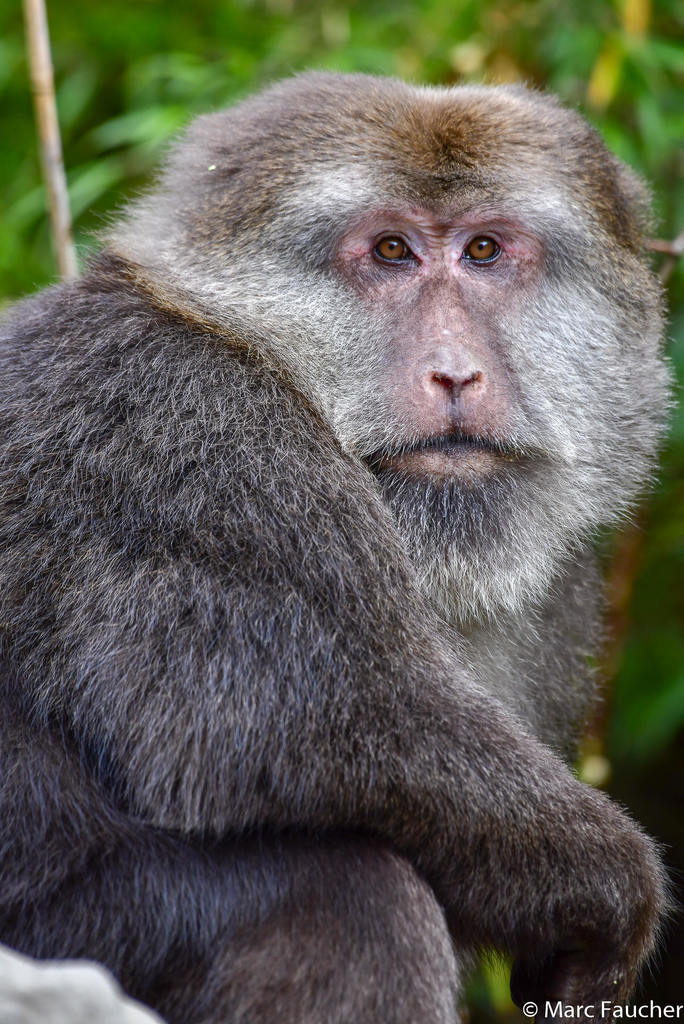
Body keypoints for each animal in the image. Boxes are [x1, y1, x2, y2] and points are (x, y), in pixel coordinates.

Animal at [0, 72, 672, 1023]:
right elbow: (267, 723)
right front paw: (611, 887)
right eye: (391, 251)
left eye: (484, 251)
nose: (455, 371)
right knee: (354, 901)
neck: (263, 356)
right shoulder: (181, 436)